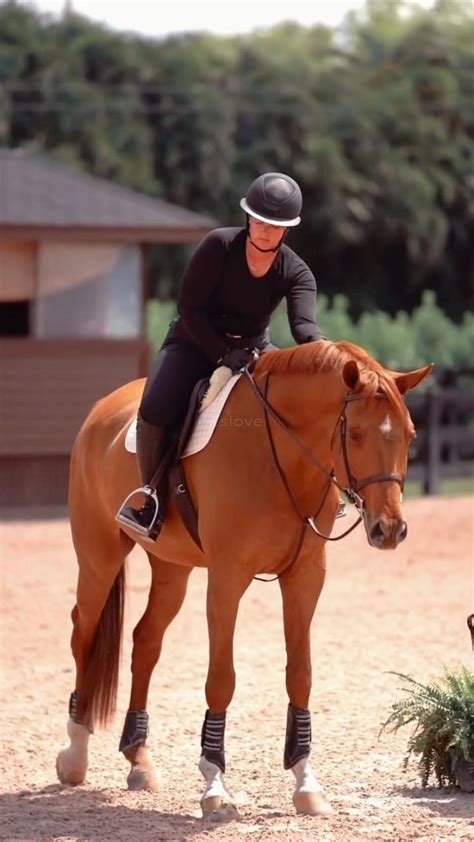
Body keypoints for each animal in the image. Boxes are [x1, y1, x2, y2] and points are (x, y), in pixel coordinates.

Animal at [56, 340, 433, 818]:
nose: (390, 530)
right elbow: (221, 680)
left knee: (145, 643)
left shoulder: (305, 579)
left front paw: (306, 782)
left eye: (410, 436)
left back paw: (139, 761)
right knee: (83, 636)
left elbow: (300, 674)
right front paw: (215, 786)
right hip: (98, 556)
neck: (281, 458)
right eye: (356, 434)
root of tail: (101, 409)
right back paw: (74, 754)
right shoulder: (228, 579)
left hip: (172, 569)